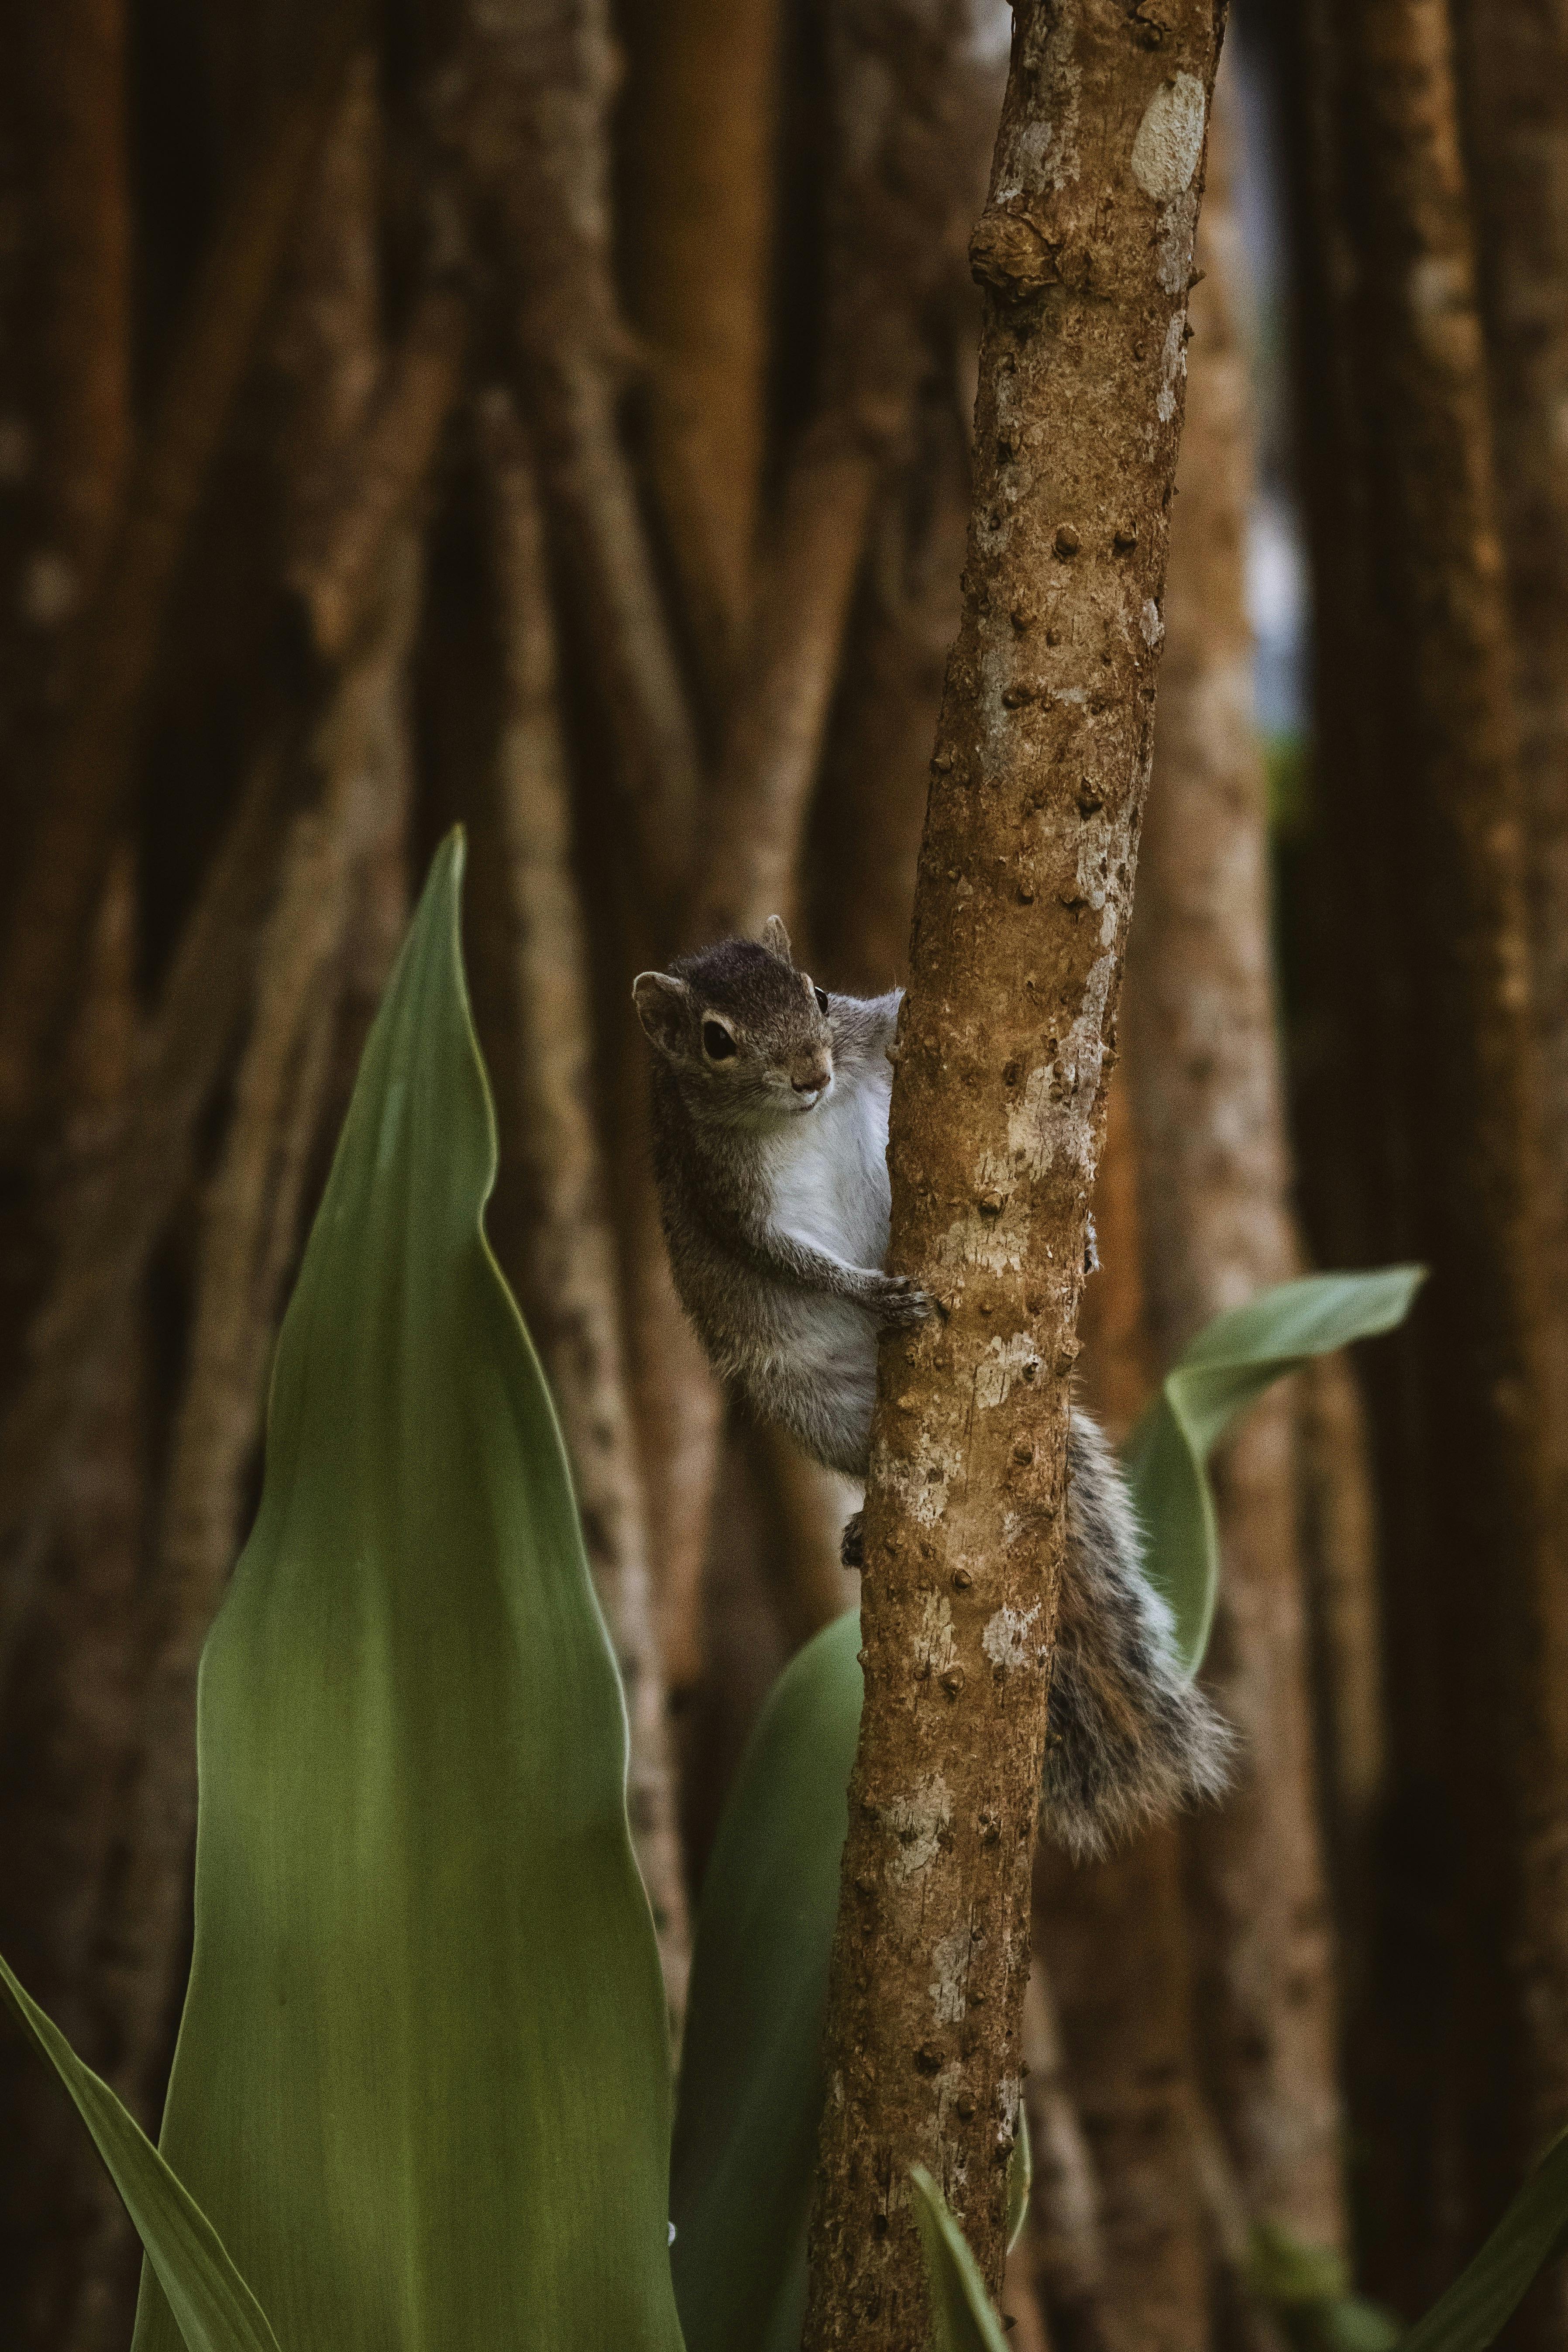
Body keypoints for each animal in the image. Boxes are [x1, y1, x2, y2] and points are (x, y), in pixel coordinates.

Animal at [633, 917, 1232, 1857]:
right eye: (714, 1041)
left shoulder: (866, 1035)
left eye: (817, 995)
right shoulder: (719, 1189)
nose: (810, 1073)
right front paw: (868, 1292)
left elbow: (898, 1012)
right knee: (856, 1454)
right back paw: (857, 1526)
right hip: (813, 1399)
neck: (790, 1119)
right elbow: (782, 1256)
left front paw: (1088, 1235)